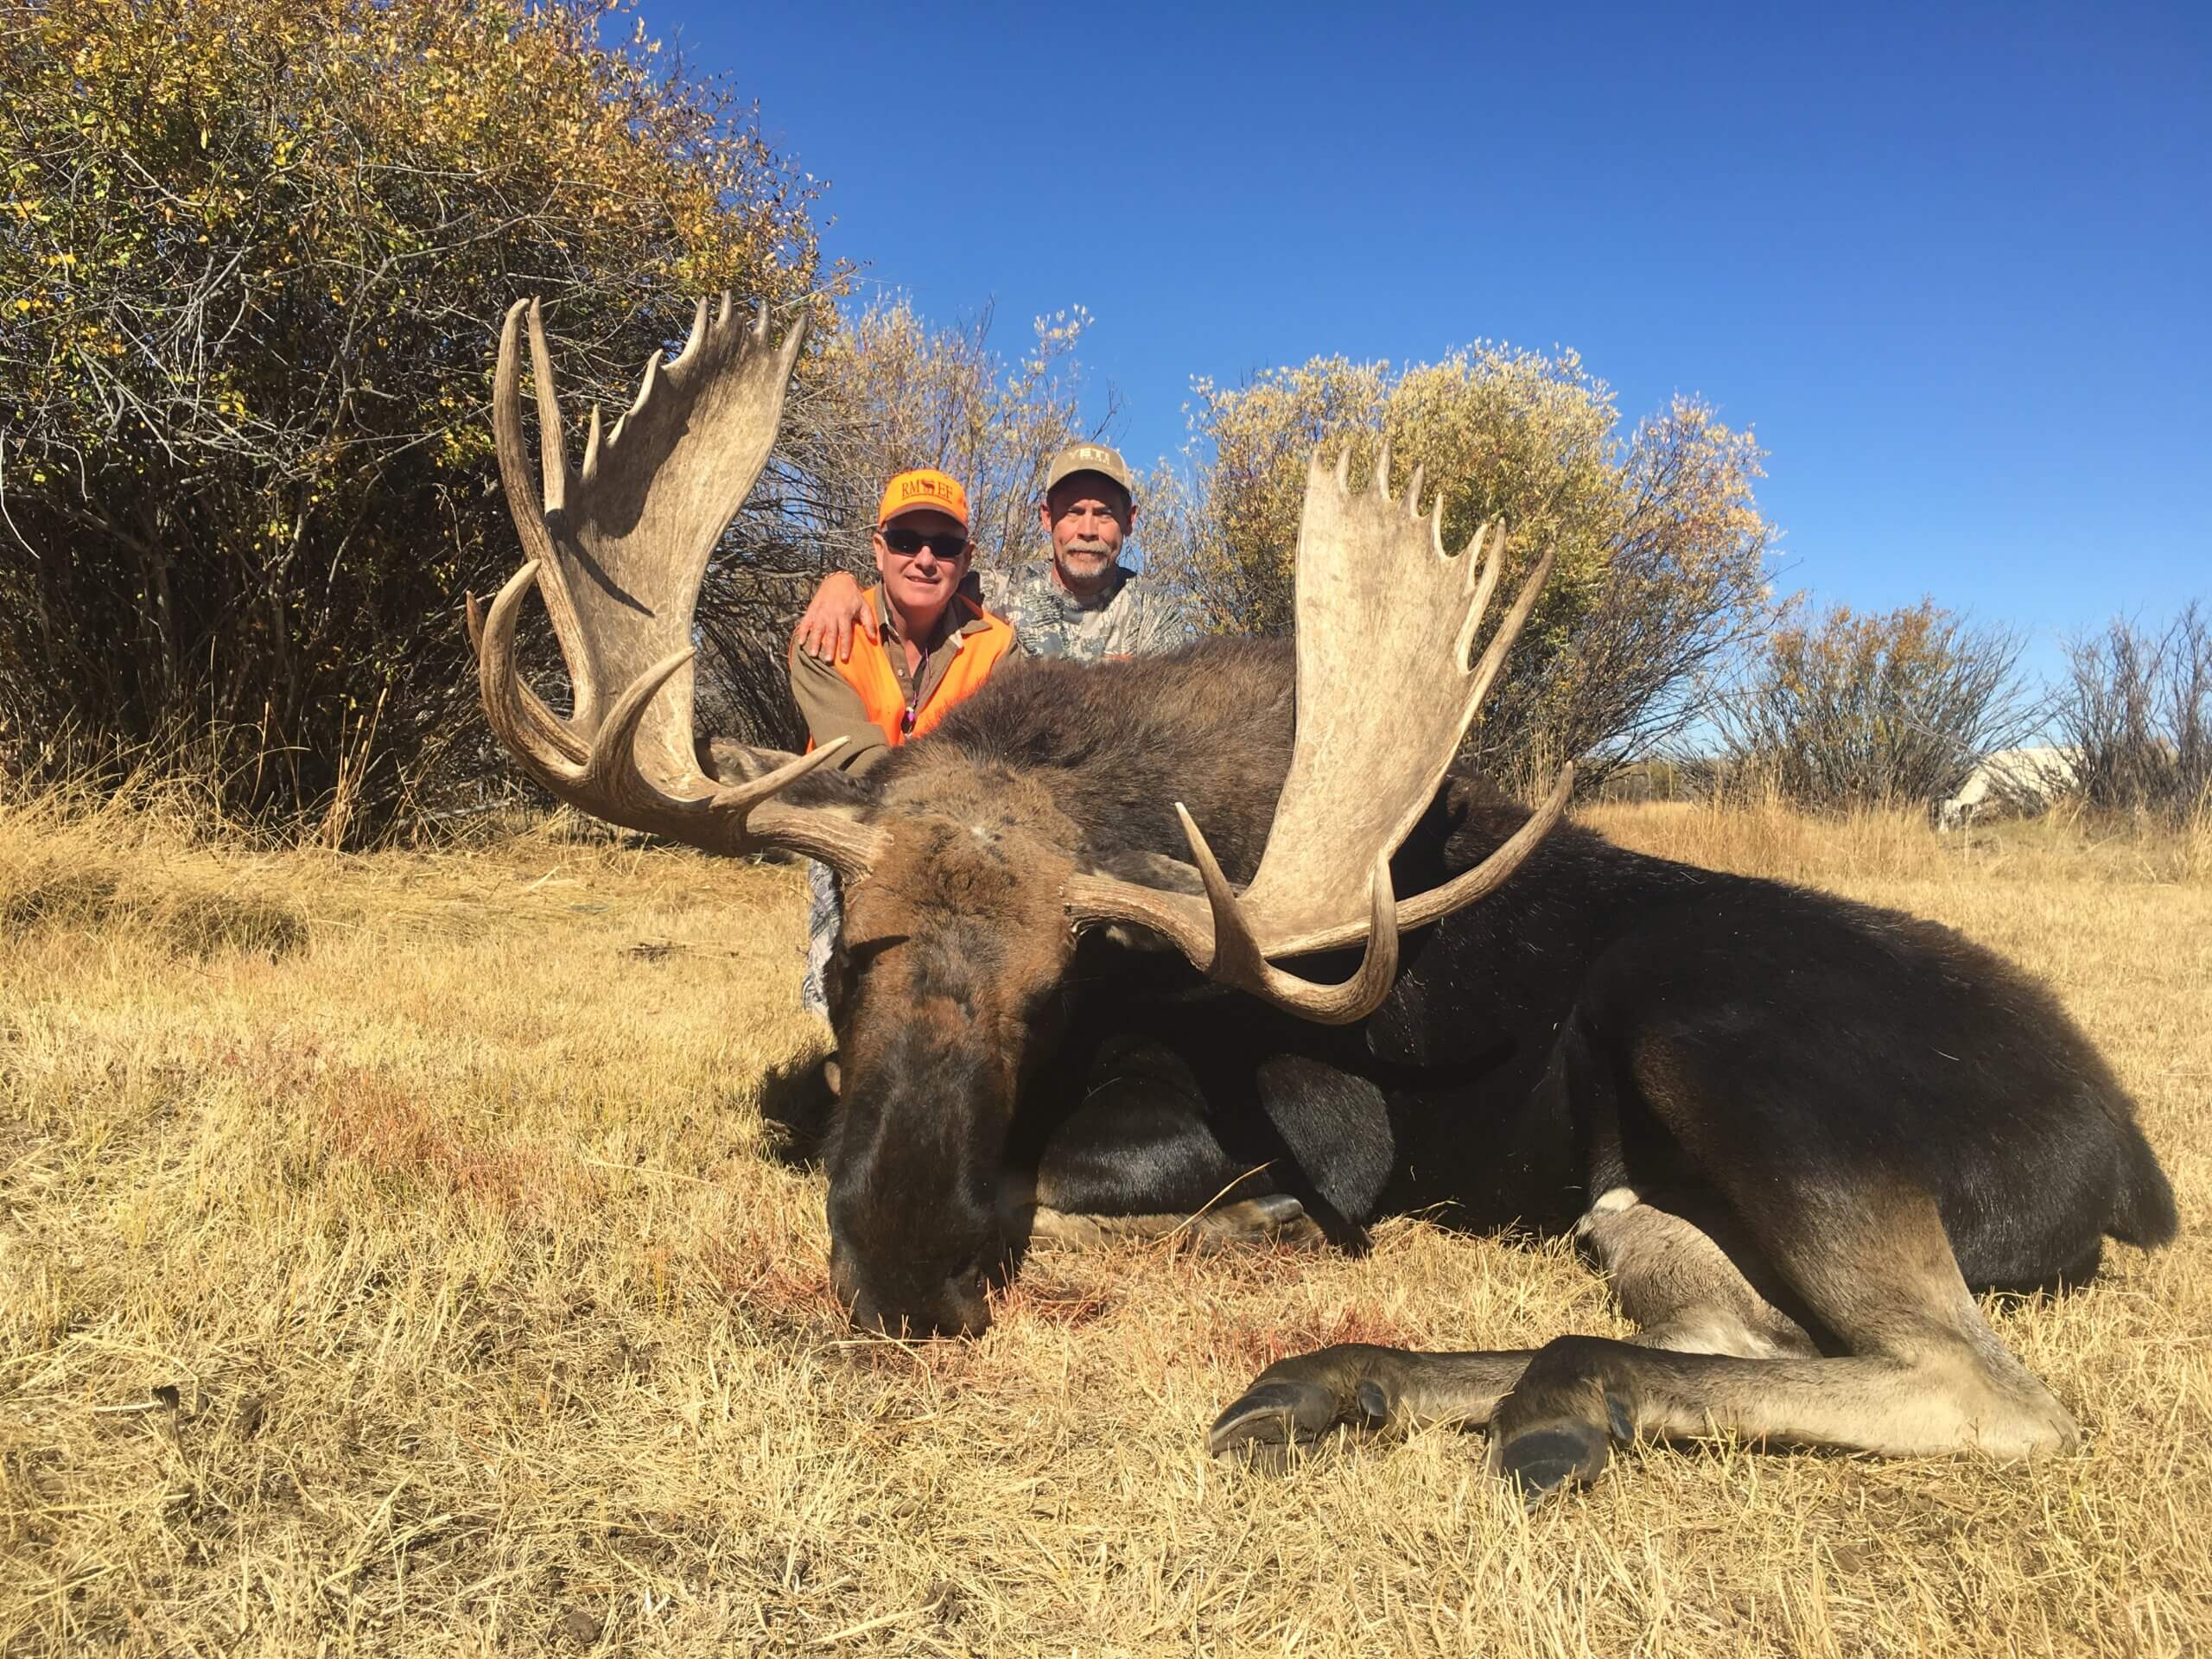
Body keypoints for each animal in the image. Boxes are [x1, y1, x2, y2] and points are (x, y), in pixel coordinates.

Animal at [470, 295, 2176, 1499]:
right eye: (847, 967)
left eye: (1055, 990)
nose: (902, 1270)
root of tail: (2137, 1166)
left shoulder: (1310, 1120)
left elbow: (1082, 1177)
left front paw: (1238, 1219)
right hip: (1643, 1199)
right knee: (1716, 1314)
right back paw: (1390, 1386)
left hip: (1714, 1036)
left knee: (1978, 1385)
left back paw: (1497, 1384)